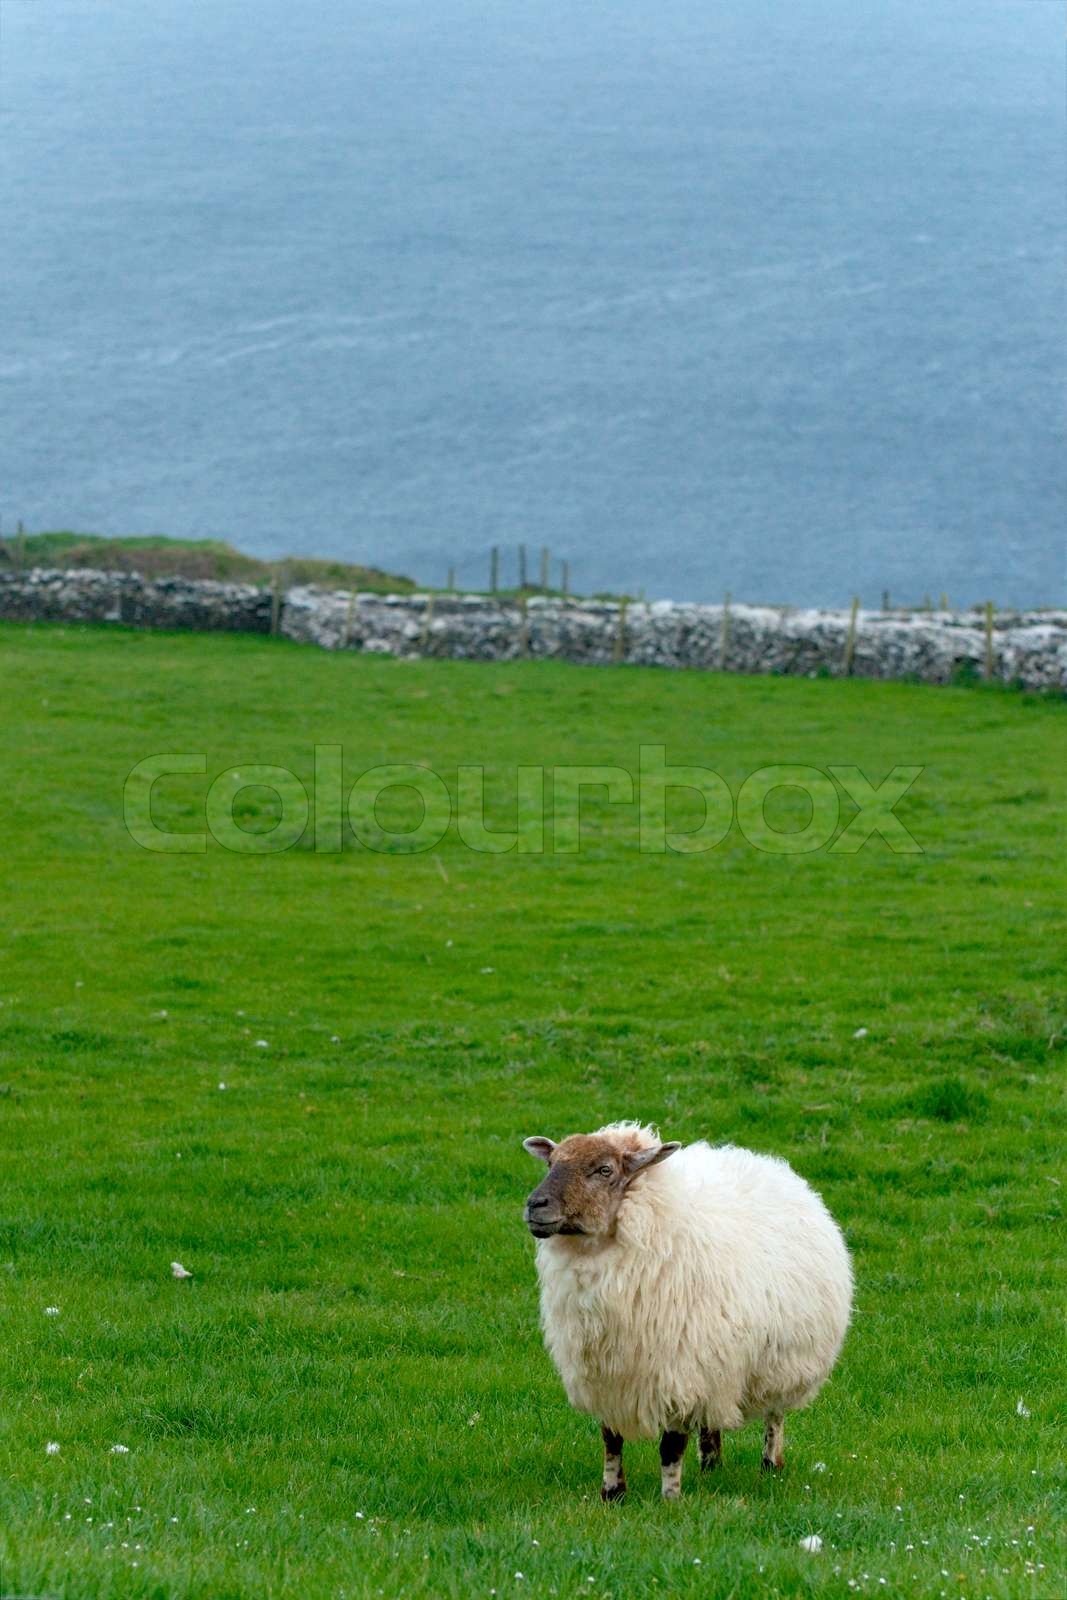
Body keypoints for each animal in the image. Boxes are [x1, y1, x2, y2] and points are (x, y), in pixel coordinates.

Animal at [522, 1121, 852, 1500]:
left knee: (775, 1415)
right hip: (718, 1363)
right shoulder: (608, 1374)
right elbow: (611, 1438)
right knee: (712, 1419)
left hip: (782, 1362)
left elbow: (671, 1445)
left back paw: (770, 1463)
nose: (534, 1204)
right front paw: (612, 1493)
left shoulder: (679, 1371)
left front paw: (670, 1498)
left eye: (604, 1170)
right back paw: (711, 1464)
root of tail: (765, 1163)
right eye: (551, 1164)